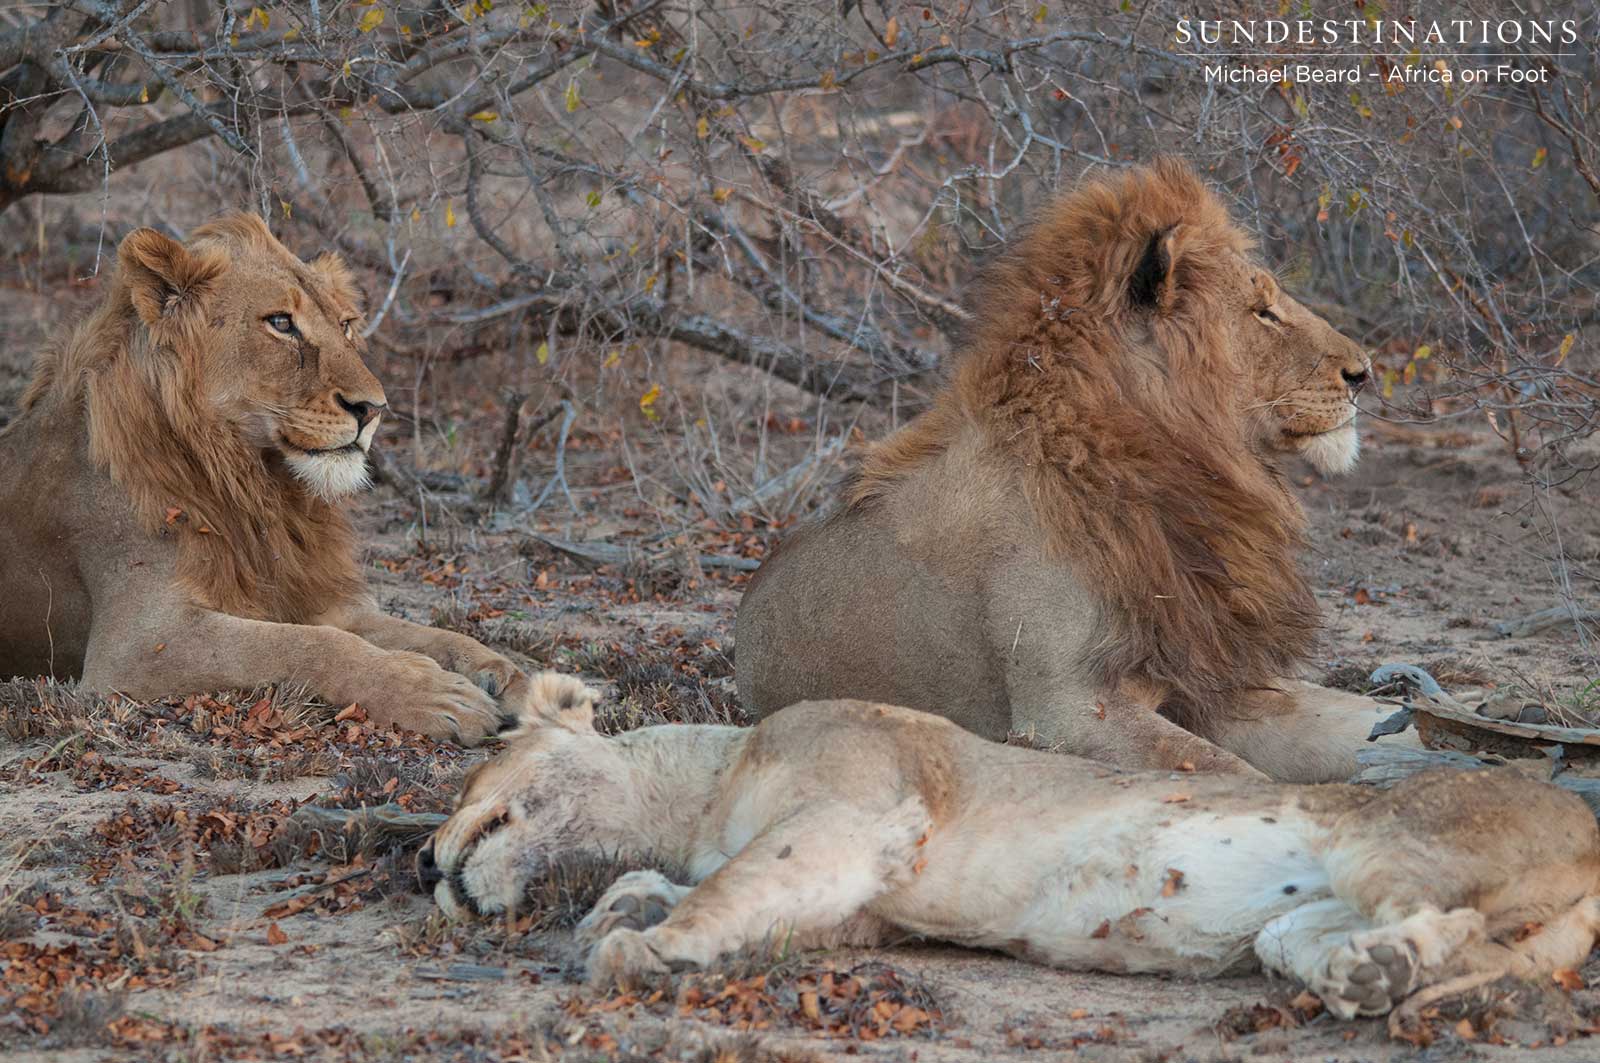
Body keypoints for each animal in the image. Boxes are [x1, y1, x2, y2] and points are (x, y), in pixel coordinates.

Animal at [0, 215, 529, 742]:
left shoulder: (315, 596)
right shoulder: (137, 644)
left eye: (345, 325)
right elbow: (312, 644)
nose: (373, 409)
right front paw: (434, 692)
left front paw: (509, 676)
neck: (260, 488)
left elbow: (425, 633)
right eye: (280, 323)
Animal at [421, 676, 1600, 1029]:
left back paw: (1395, 968)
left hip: (1384, 834)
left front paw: (638, 948)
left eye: (485, 756)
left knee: (1456, 923)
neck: (704, 778)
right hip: (1290, 922)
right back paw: (1365, 976)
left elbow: (729, 885)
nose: (426, 862)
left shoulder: (852, 812)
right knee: (1394, 946)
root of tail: (1587, 828)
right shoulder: (860, 901)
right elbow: (687, 883)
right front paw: (622, 906)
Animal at [735, 159, 1400, 781]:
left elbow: (1355, 725)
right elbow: (1233, 776)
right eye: (1263, 312)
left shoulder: (1211, 681)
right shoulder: (1063, 711)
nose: (1364, 372)